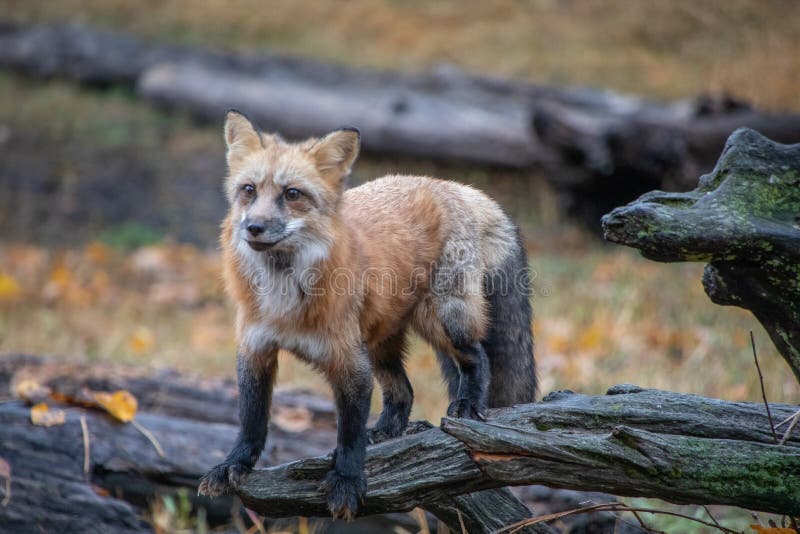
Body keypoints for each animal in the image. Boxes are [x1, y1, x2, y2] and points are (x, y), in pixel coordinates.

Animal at [198, 110, 536, 519]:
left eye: (292, 194)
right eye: (248, 189)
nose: (254, 227)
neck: (285, 300)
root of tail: (453, 186)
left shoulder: (348, 360)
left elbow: (349, 433)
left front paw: (346, 481)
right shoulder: (255, 348)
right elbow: (251, 419)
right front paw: (234, 464)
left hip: (442, 320)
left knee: (477, 356)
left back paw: (469, 404)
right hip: (378, 342)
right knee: (403, 392)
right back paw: (389, 430)